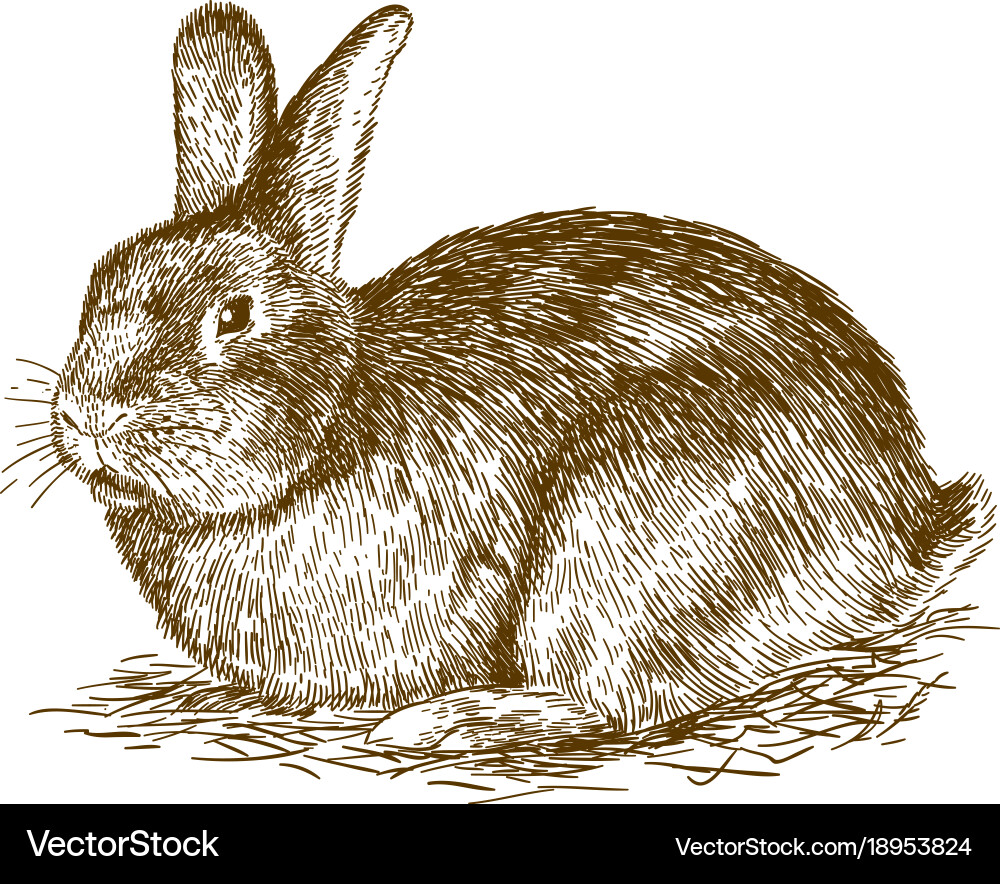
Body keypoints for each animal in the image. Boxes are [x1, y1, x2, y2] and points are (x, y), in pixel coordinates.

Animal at [45, 2, 991, 752]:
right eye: (98, 285)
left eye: (233, 316)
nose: (87, 416)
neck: (332, 424)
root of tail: (900, 535)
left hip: (611, 546)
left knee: (619, 706)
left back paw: (448, 724)